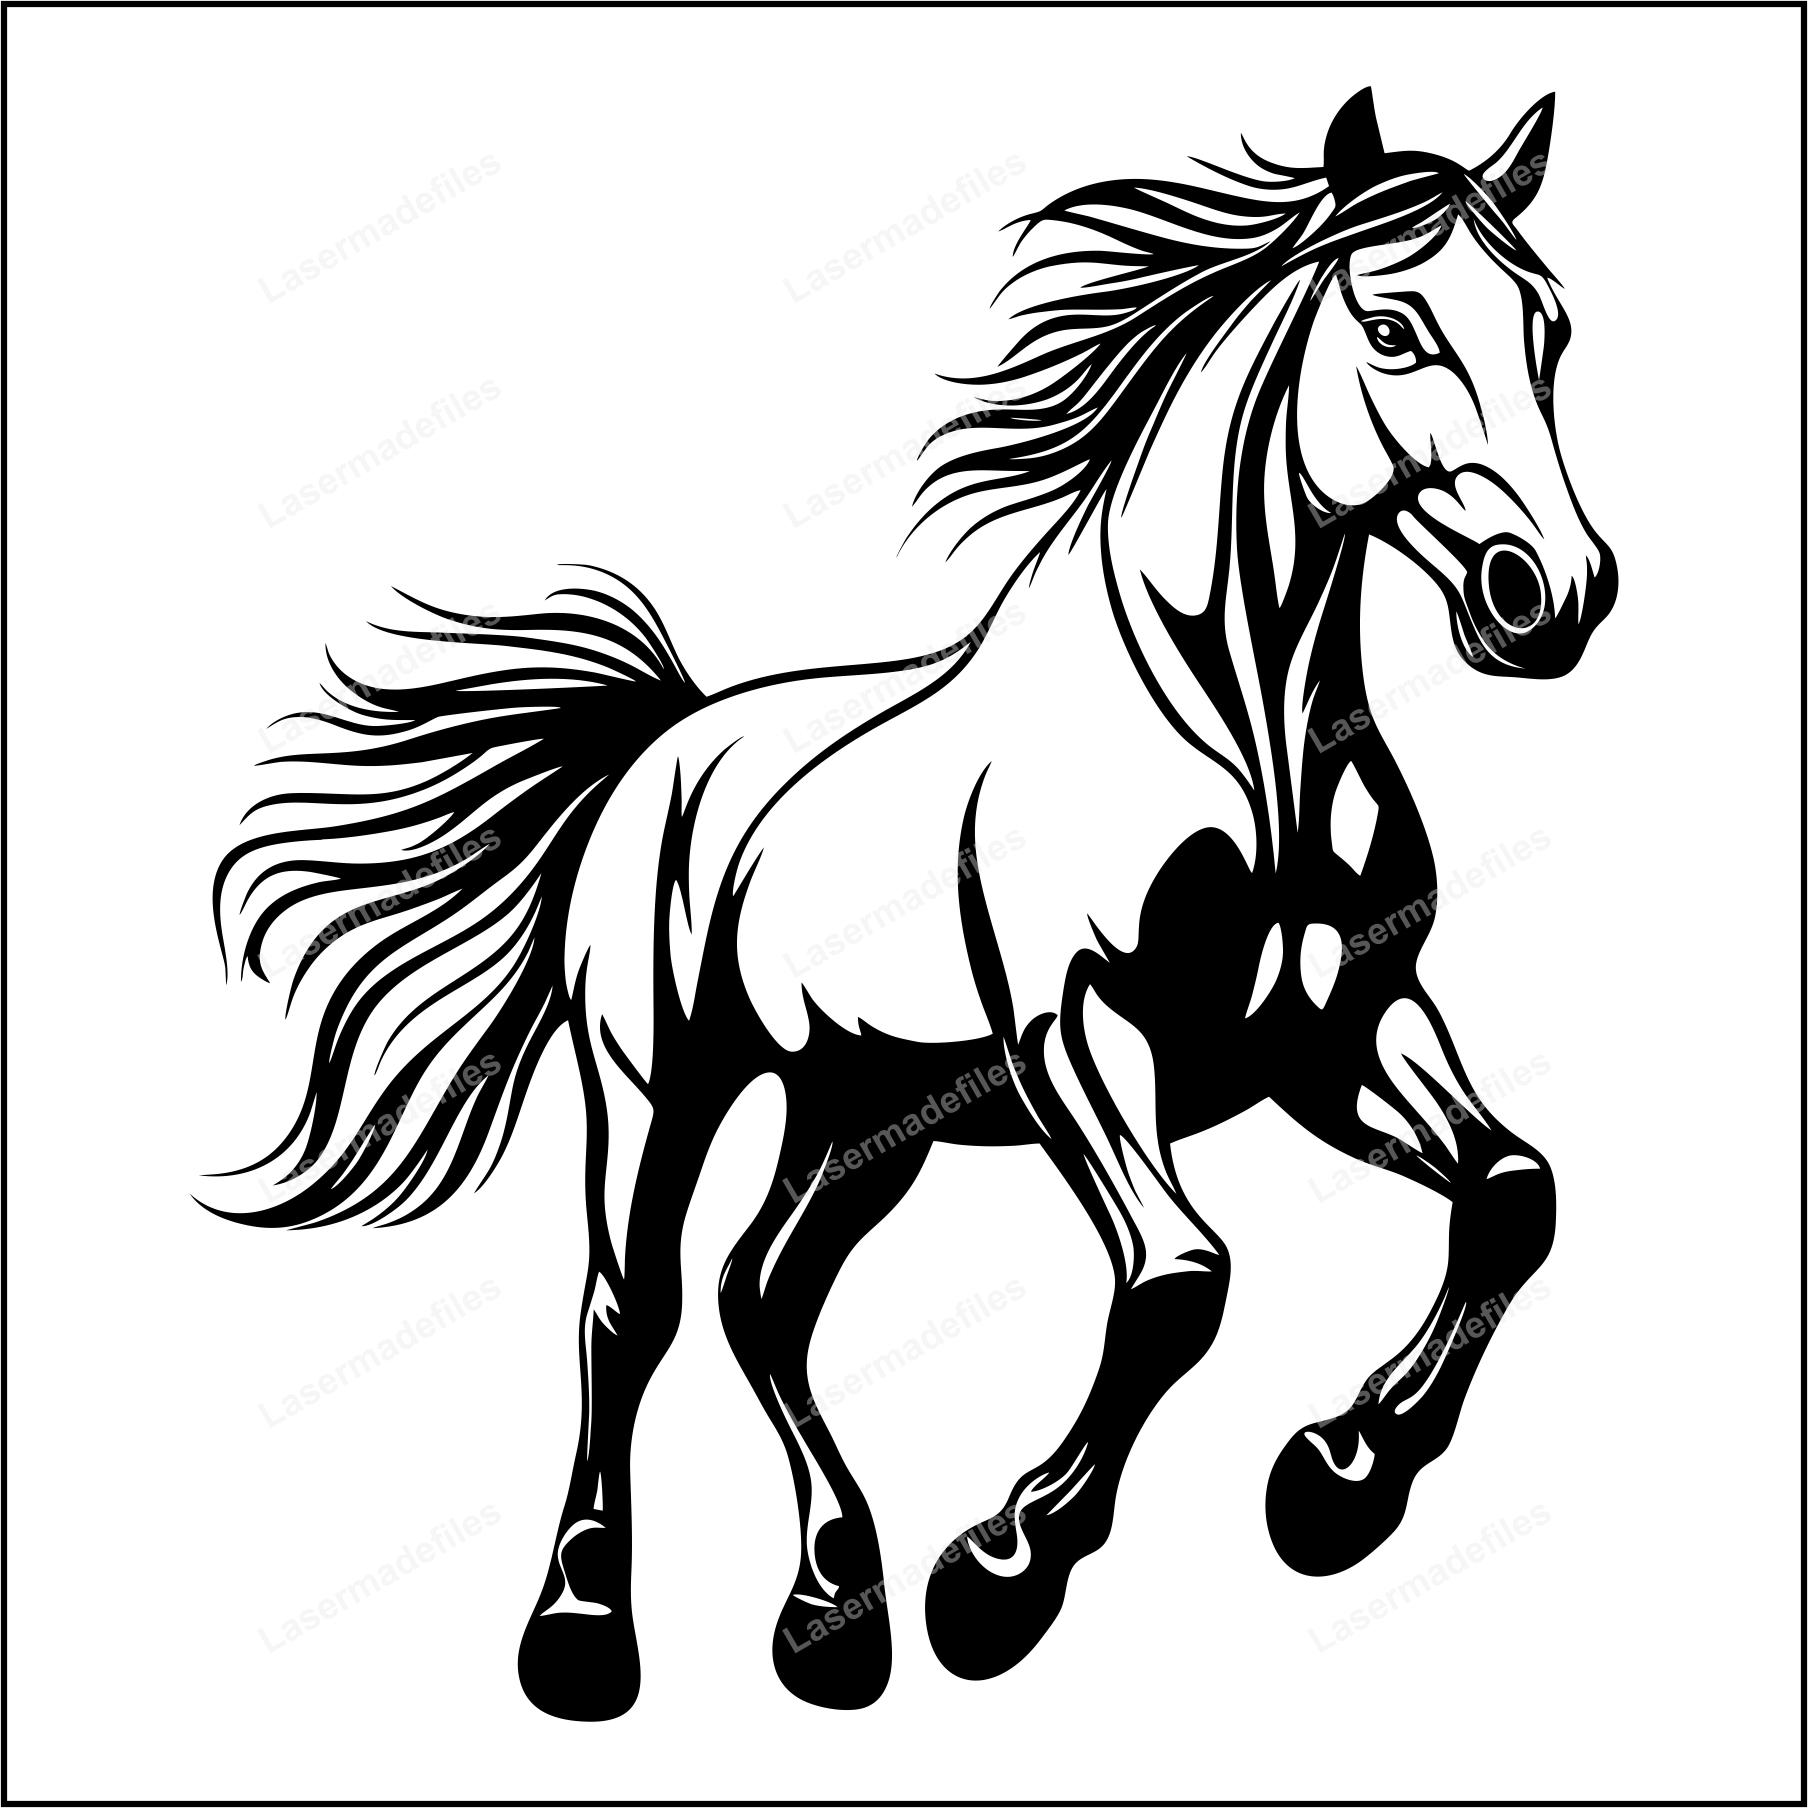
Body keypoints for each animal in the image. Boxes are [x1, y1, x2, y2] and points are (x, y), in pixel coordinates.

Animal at [209, 88, 1617, 1720]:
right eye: (1392, 328)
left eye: (1550, 326)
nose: (1552, 595)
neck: (1235, 727)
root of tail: (661, 741)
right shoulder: (1080, 1031)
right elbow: (1178, 1283)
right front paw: (1001, 1573)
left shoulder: (1332, 1029)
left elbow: (1510, 1195)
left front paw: (1336, 1476)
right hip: (658, 1087)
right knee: (634, 1312)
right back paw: (585, 1629)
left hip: (862, 1116)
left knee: (763, 1296)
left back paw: (832, 1611)